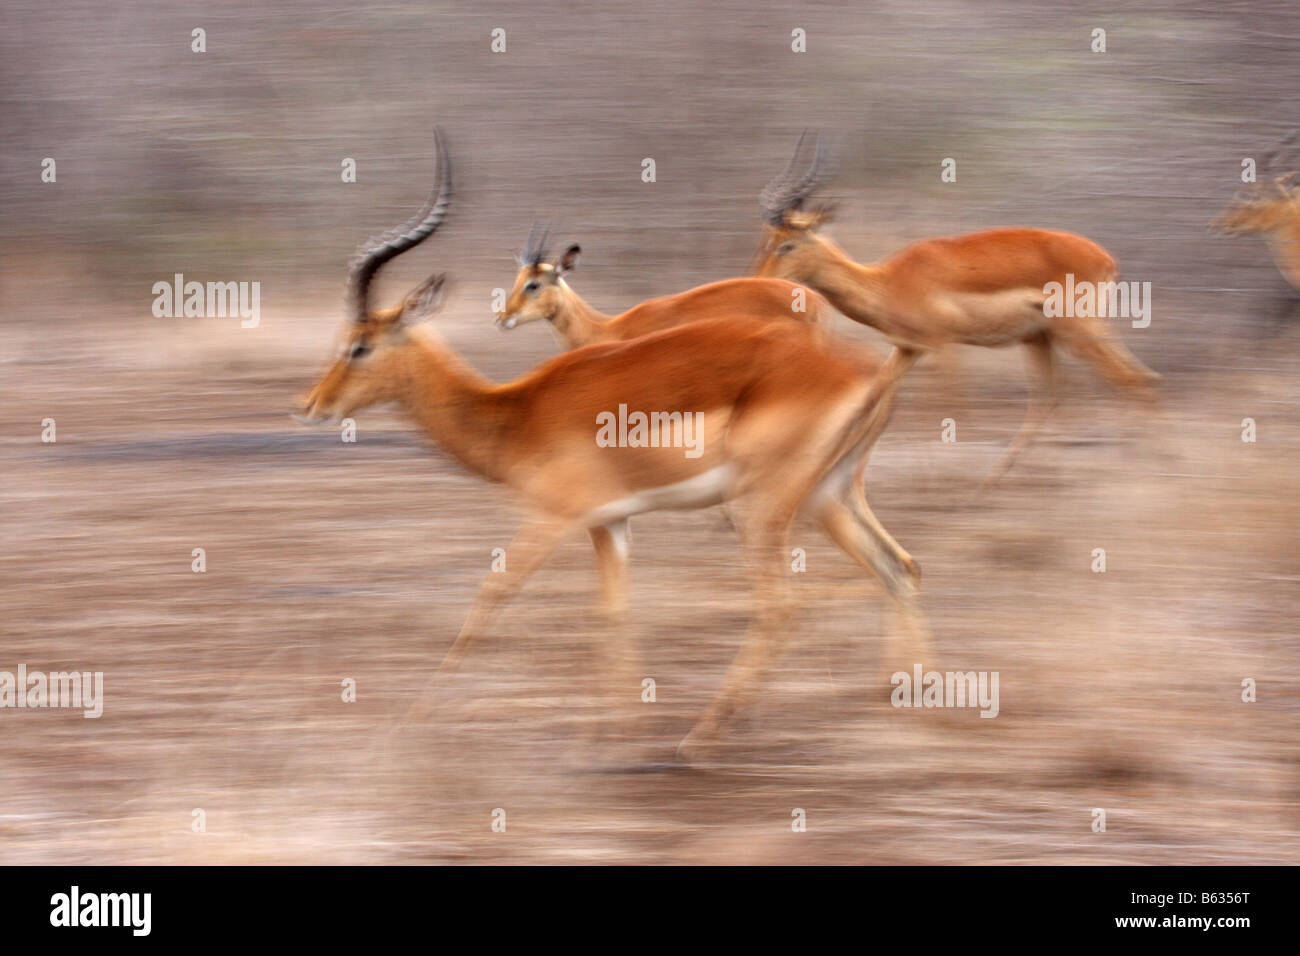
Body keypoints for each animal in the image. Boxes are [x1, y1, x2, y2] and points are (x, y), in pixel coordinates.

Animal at [753, 136, 1163, 480]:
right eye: (766, 239)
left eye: (787, 244)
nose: (760, 281)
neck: (889, 282)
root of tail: (1104, 257)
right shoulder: (908, 349)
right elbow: (871, 400)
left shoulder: (942, 345)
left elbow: (950, 405)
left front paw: (943, 476)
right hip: (1042, 338)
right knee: (1065, 395)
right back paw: (1007, 477)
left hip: (1075, 332)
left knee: (1130, 380)